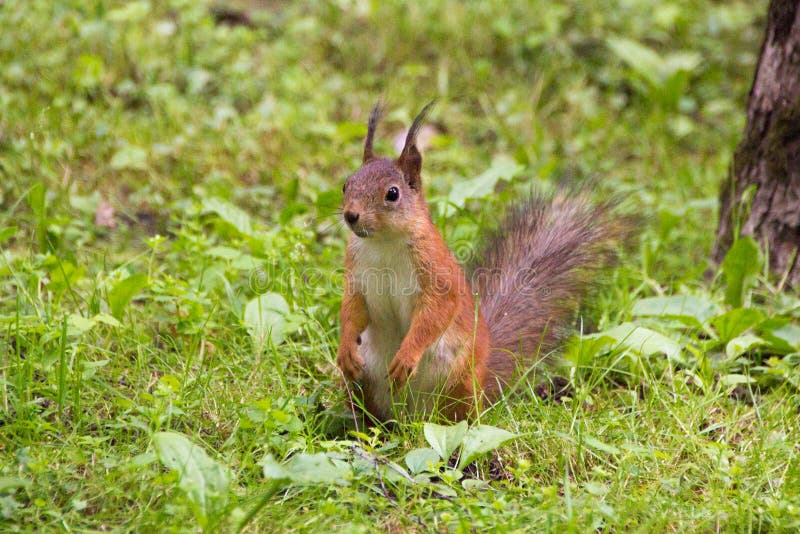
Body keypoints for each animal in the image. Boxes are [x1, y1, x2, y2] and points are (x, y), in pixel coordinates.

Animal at [336, 101, 627, 422]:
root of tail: (411, 418)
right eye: (346, 185)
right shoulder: (357, 270)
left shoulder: (435, 268)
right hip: (364, 386)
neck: (383, 242)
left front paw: (406, 356)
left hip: (458, 383)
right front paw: (345, 349)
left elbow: (436, 312)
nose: (351, 215)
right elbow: (352, 308)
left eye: (392, 193)